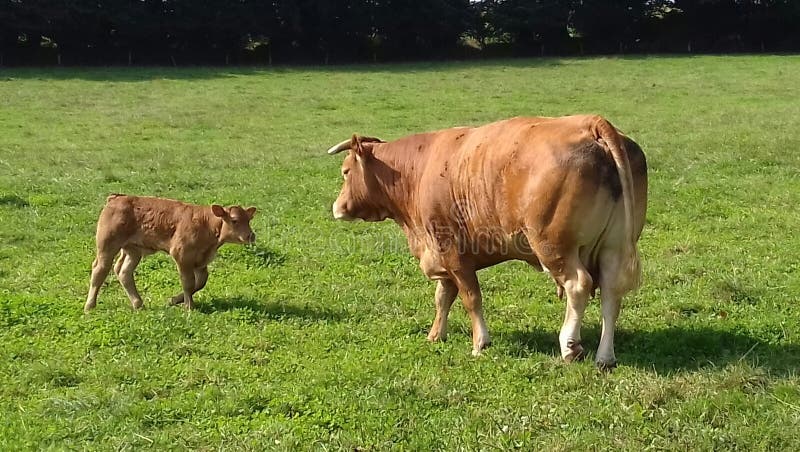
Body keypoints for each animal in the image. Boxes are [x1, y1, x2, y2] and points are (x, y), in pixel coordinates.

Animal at [84, 194, 257, 312]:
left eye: (248, 220)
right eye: (234, 220)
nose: (251, 235)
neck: (206, 223)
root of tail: (117, 197)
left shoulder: (200, 261)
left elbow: (199, 283)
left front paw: (174, 300)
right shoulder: (182, 255)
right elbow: (188, 283)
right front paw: (189, 307)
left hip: (133, 249)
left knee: (123, 271)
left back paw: (138, 304)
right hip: (107, 246)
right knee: (99, 270)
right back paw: (89, 306)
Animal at [327, 115, 647, 369]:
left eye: (345, 171)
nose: (336, 207)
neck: (417, 170)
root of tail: (591, 123)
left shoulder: (452, 252)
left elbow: (471, 298)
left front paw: (480, 342)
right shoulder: (443, 256)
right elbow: (443, 297)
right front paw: (436, 334)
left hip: (555, 248)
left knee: (578, 285)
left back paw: (569, 345)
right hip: (613, 248)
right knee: (611, 294)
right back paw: (605, 357)